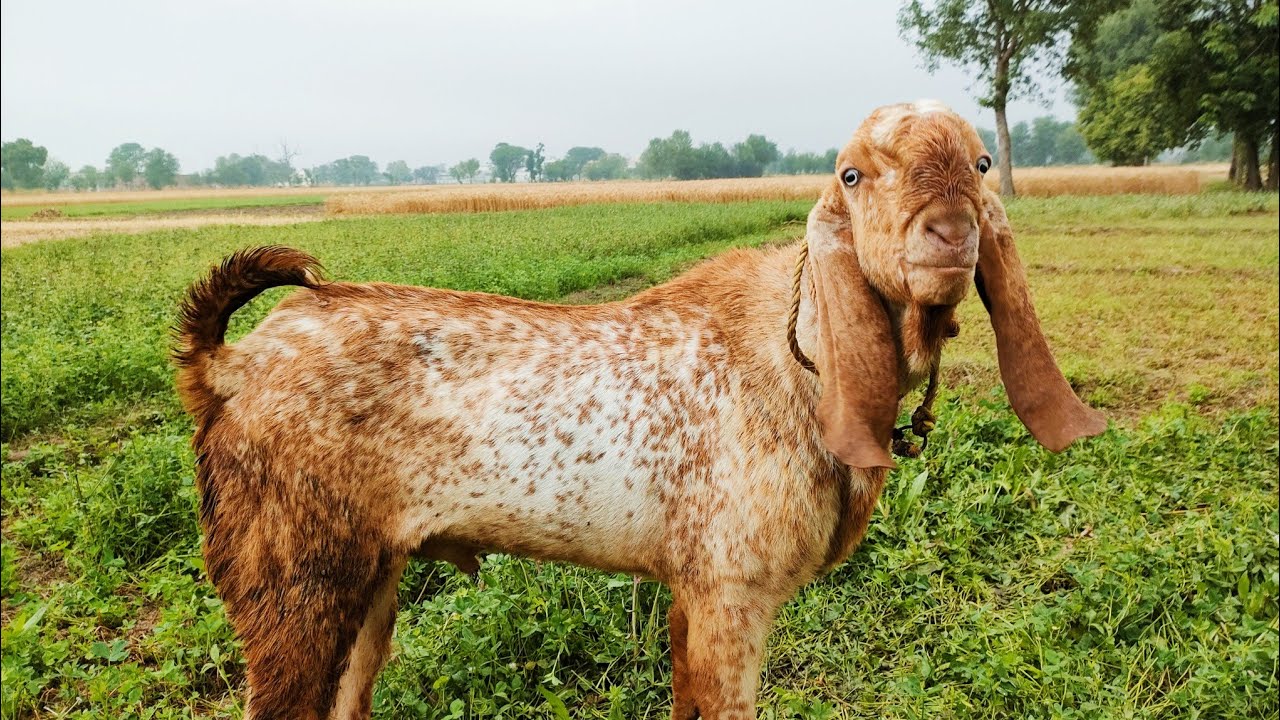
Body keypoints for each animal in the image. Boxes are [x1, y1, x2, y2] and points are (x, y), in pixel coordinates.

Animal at [173, 101, 1105, 720]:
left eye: (979, 164)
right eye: (852, 173)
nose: (951, 234)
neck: (796, 359)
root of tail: (228, 366)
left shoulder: (693, 595)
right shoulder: (732, 589)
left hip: (369, 577)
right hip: (290, 577)